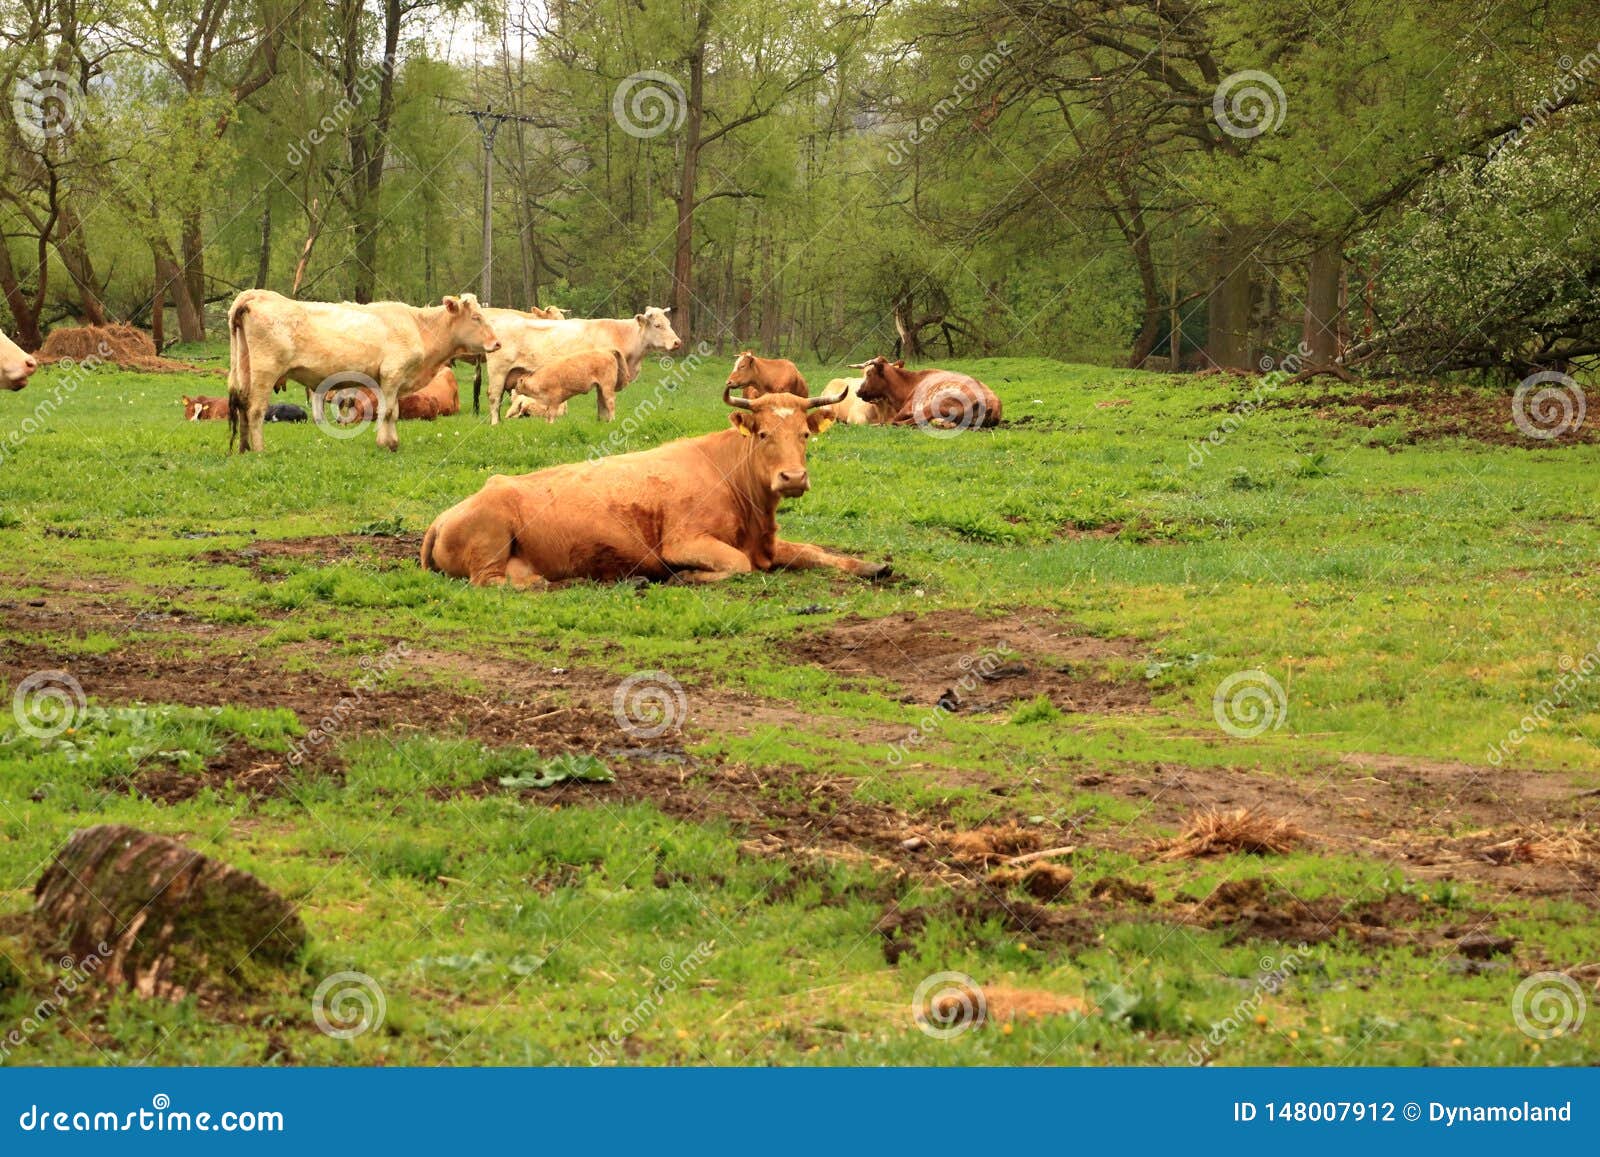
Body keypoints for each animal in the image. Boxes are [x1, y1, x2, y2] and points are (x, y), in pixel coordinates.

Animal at [225, 290, 499, 453]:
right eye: (476, 318)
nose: (497, 343)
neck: (418, 326)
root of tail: (256, 294)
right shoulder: (392, 375)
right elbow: (388, 412)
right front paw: (387, 443)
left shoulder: (387, 382)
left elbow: (391, 411)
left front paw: (390, 442)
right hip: (265, 371)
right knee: (255, 409)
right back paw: (259, 450)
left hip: (244, 370)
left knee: (242, 406)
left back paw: (244, 448)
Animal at [421, 384, 891, 588]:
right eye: (762, 434)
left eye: (805, 435)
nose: (792, 478)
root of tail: (445, 515)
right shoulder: (685, 541)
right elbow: (737, 564)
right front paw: (687, 575)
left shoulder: (768, 544)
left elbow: (814, 551)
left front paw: (872, 566)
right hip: (491, 542)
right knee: (490, 582)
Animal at [477, 307, 682, 424]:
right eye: (657, 325)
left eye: (668, 322)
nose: (677, 342)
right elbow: (605, 401)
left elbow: (601, 402)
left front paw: (602, 421)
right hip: (498, 372)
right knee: (494, 397)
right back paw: (495, 424)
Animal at [848, 356, 1002, 429]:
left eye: (869, 374)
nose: (857, 391)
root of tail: (992, 402)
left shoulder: (906, 409)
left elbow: (895, 419)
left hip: (936, 403)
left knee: (909, 421)